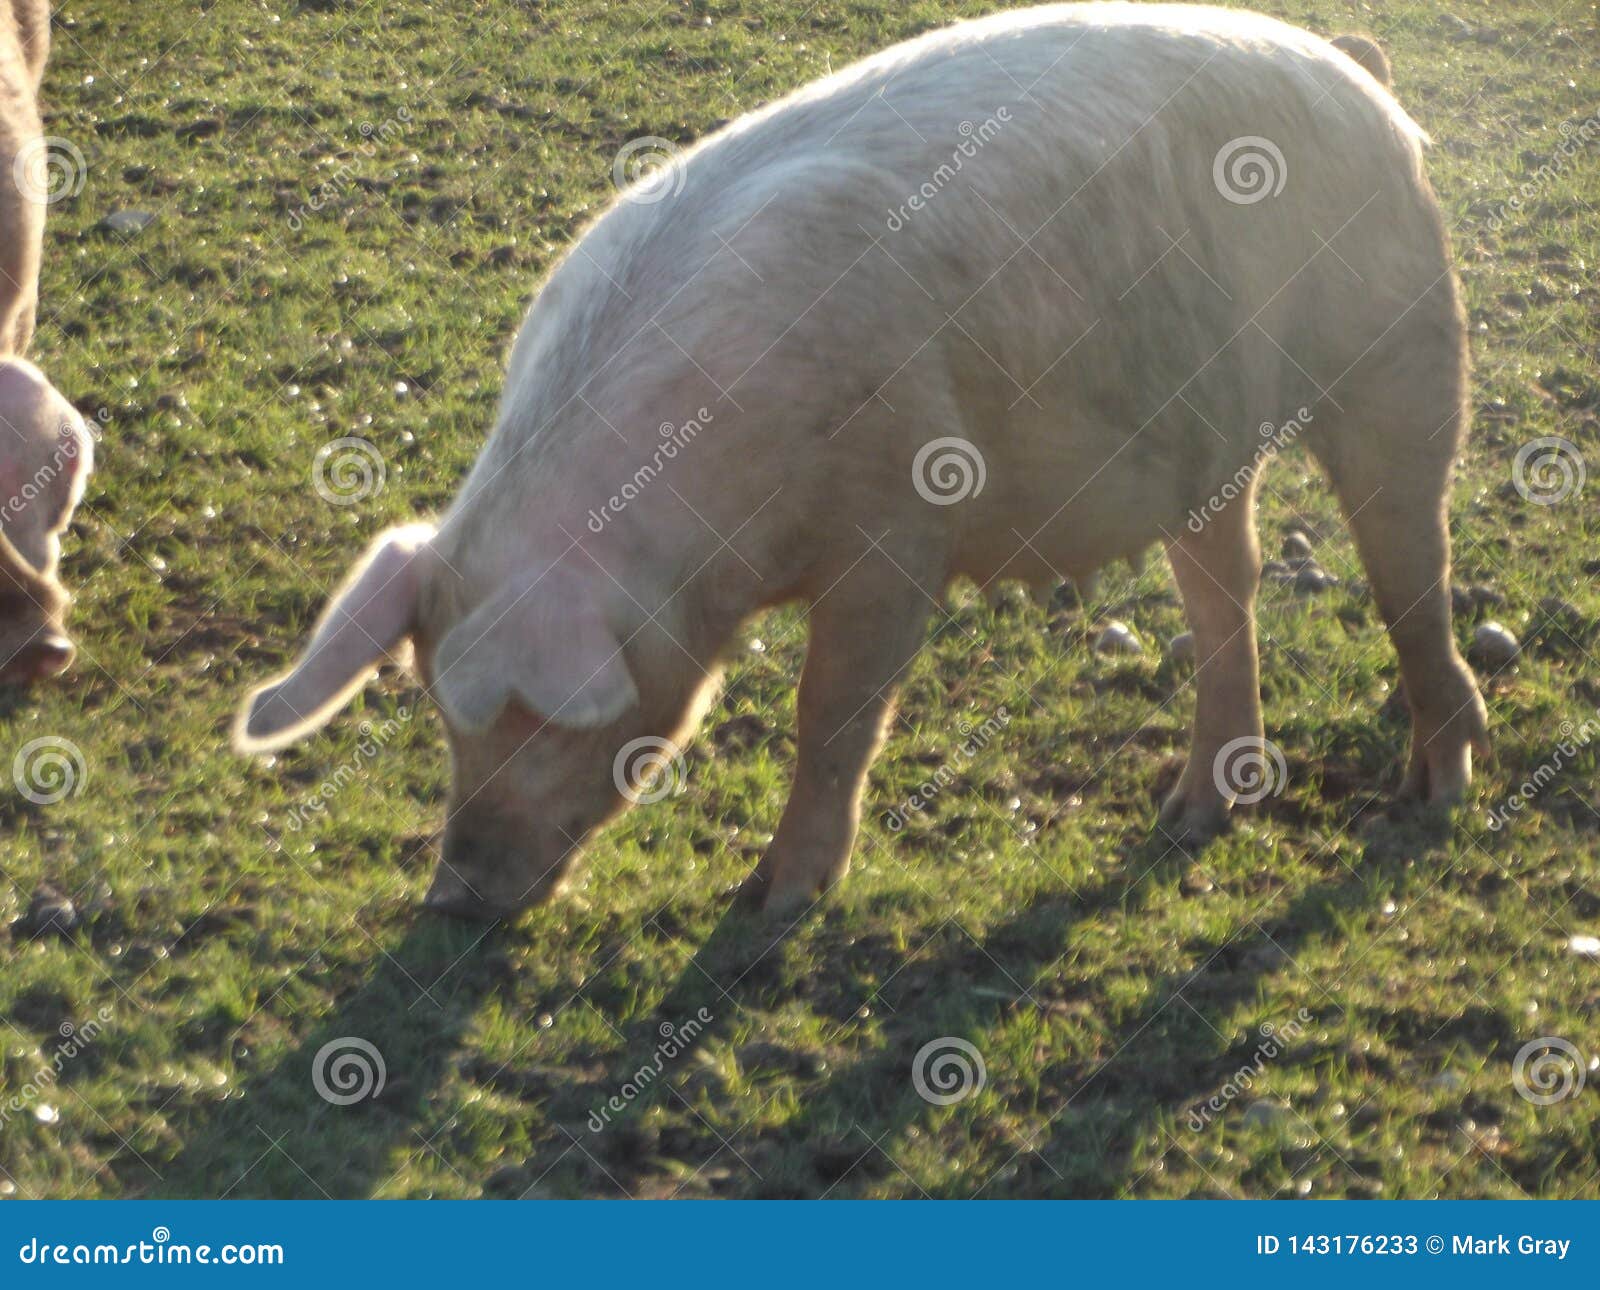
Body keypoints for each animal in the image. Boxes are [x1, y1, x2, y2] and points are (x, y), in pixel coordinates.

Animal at [236, 4, 1489, 921]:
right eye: (443, 716)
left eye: (537, 722)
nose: (451, 897)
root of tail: (1359, 71)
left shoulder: (895, 530)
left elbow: (831, 708)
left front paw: (771, 903)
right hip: (1205, 437)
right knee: (1228, 588)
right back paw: (1186, 815)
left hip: (1403, 349)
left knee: (1411, 568)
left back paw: (1434, 792)